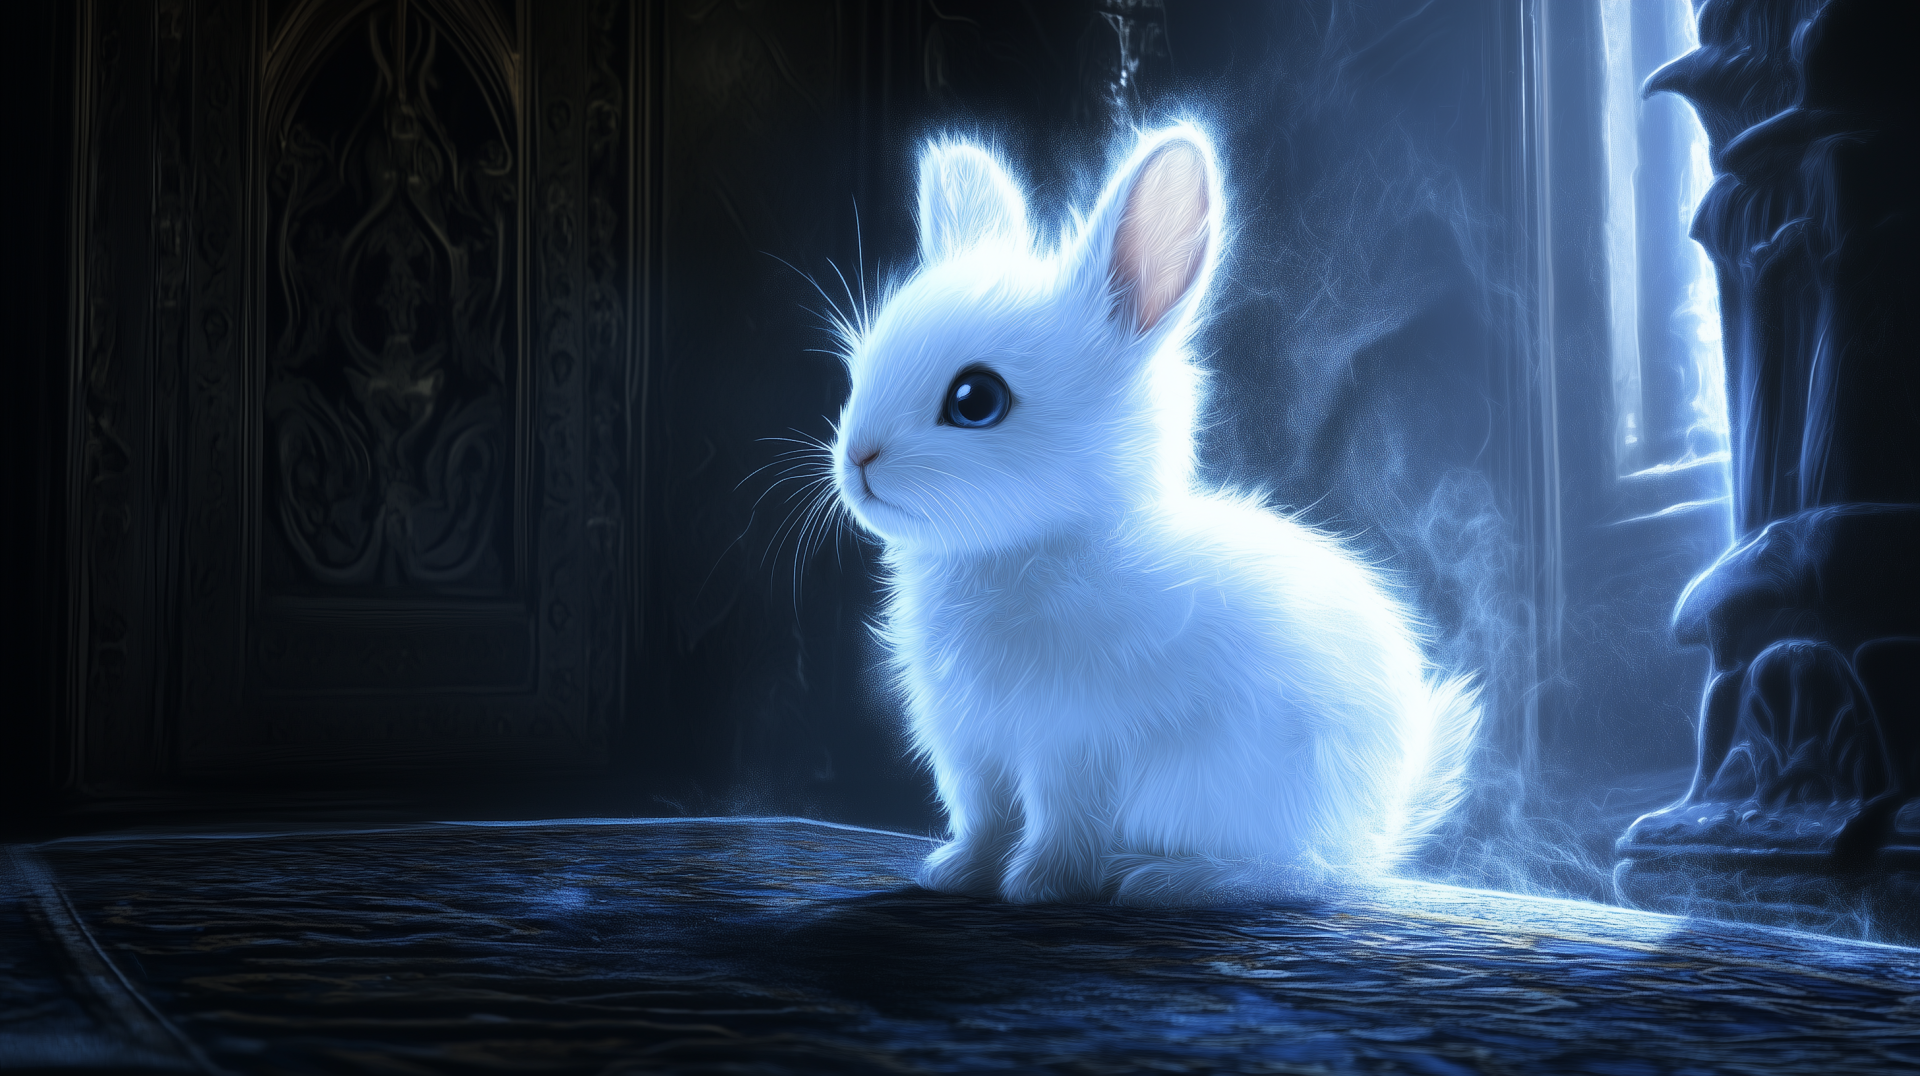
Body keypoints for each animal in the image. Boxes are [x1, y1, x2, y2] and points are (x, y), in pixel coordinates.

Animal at [827, 122, 1480, 906]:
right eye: (861, 366)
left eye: (976, 400)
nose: (857, 459)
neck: (1027, 551)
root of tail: (1380, 827)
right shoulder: (970, 746)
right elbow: (983, 816)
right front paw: (953, 874)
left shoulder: (1072, 745)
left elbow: (1057, 819)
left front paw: (1039, 884)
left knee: (1300, 874)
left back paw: (1170, 878)